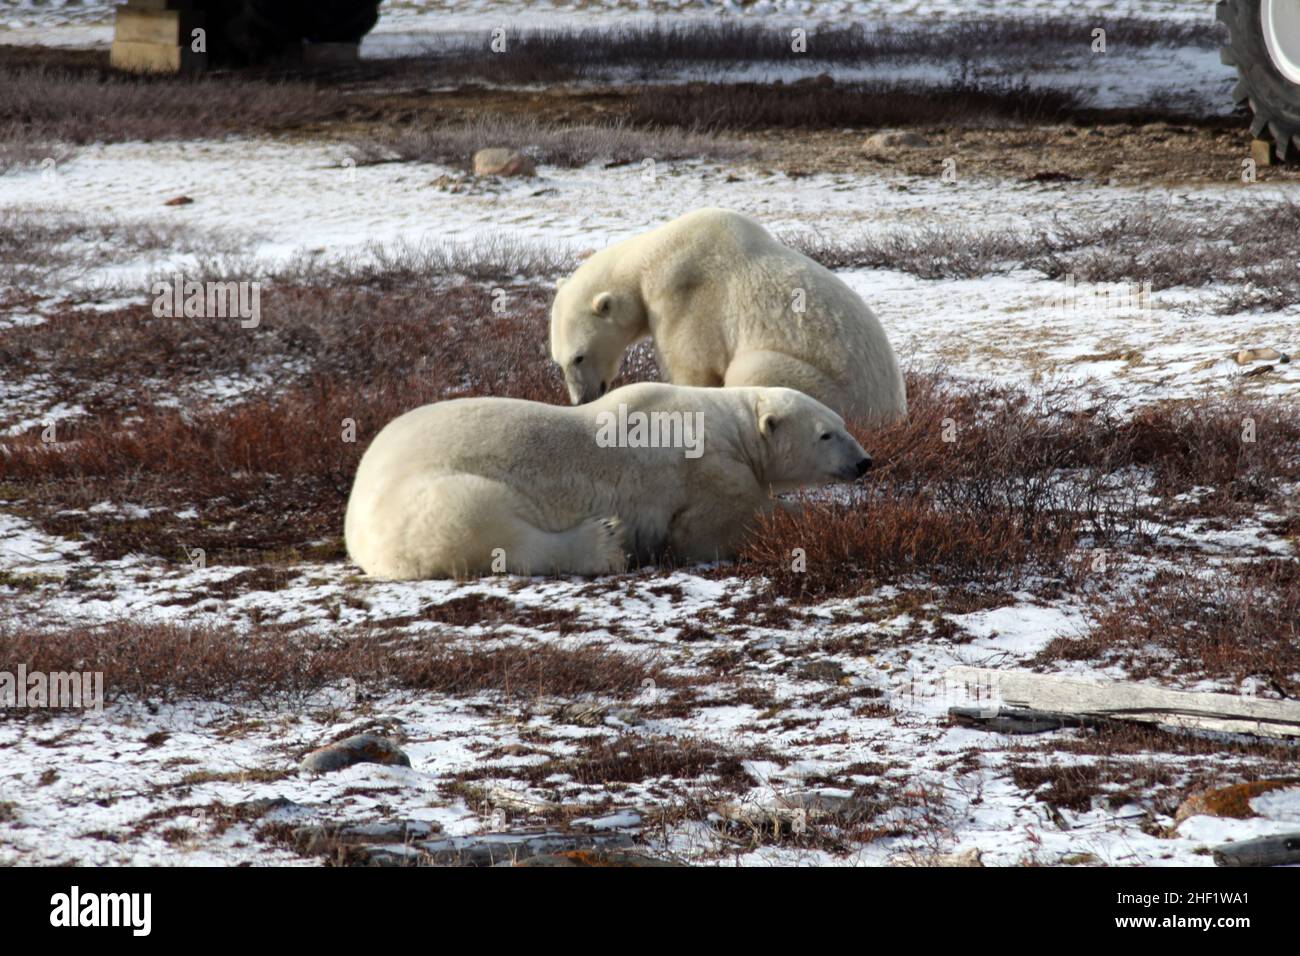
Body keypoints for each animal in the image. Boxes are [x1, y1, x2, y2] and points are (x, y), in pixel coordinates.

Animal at [344, 382, 871, 579]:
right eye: (827, 434)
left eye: (844, 422)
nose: (865, 461)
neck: (729, 424)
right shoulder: (704, 473)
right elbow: (715, 528)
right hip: (434, 496)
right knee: (492, 530)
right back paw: (605, 542)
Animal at [549, 207, 906, 425]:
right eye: (558, 360)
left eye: (579, 356)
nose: (581, 399)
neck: (647, 264)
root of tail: (893, 414)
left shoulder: (682, 300)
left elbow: (692, 367)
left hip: (833, 390)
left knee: (752, 368)